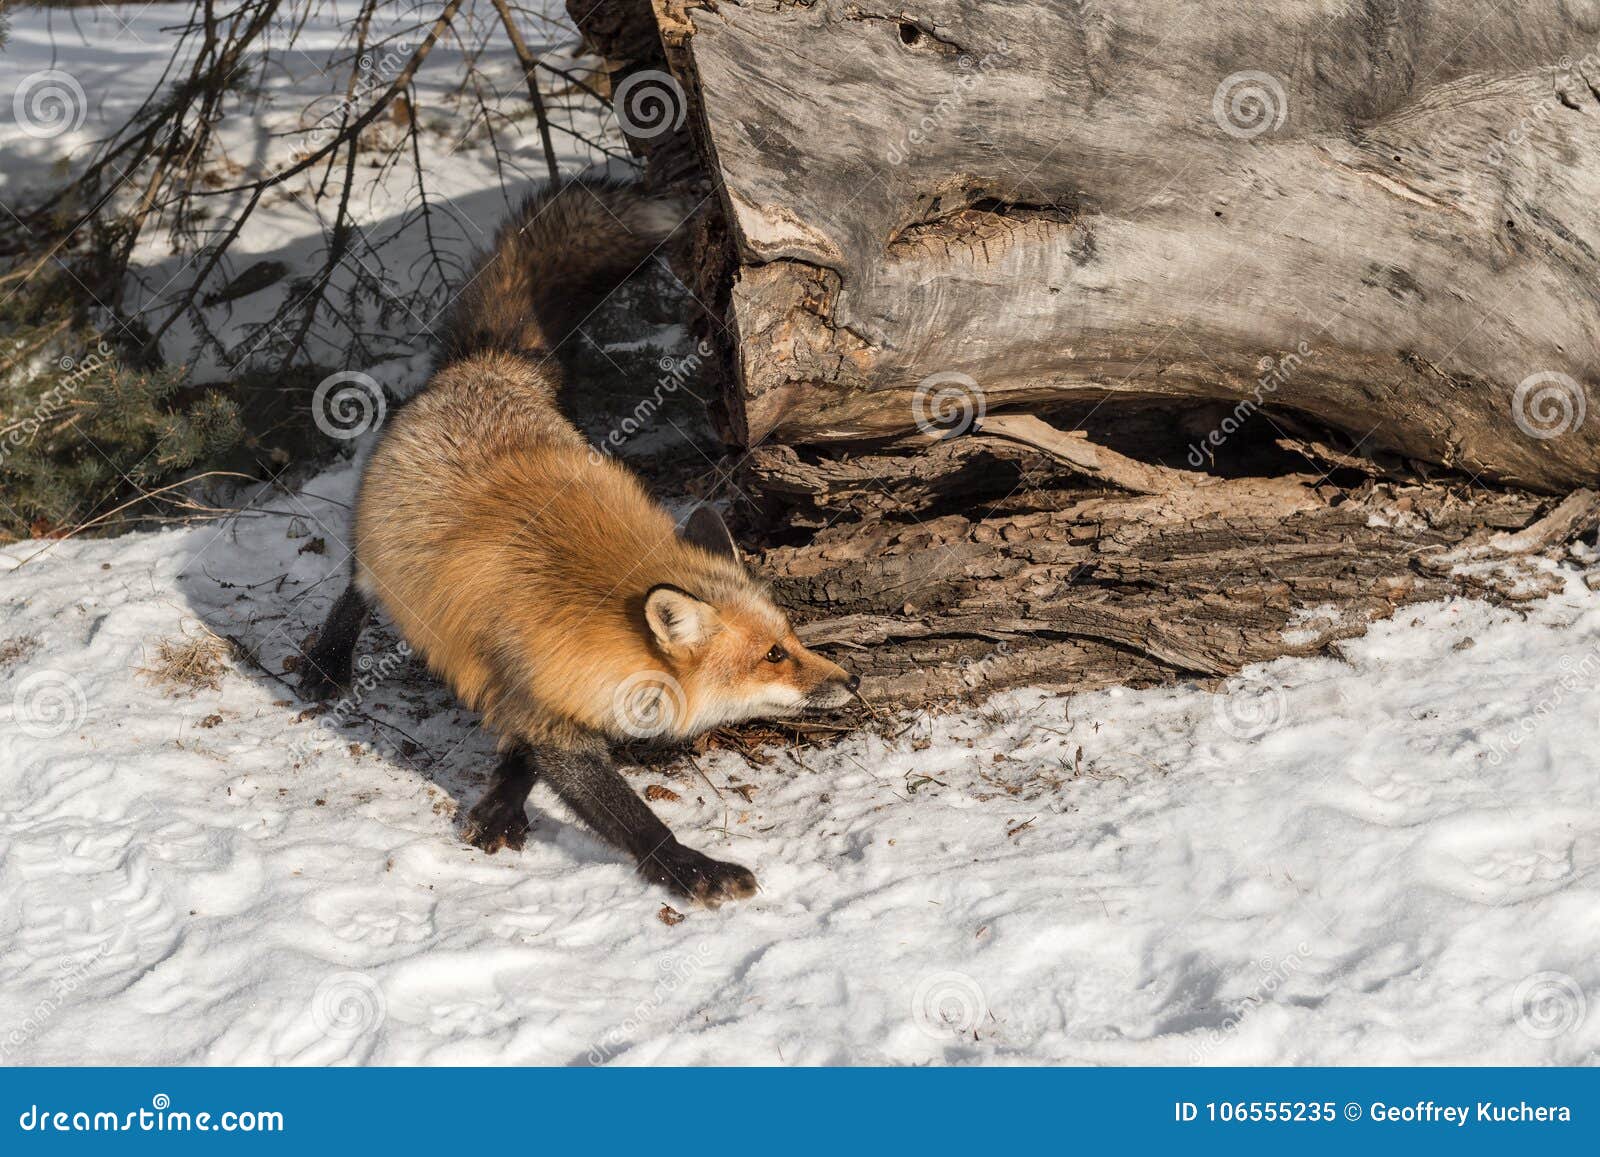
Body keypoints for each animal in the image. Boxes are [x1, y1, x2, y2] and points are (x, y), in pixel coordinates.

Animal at [297, 178, 857, 907]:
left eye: (790, 638)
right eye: (772, 656)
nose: (851, 680)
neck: (596, 609)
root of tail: (492, 365)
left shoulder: (537, 692)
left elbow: (523, 759)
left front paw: (501, 806)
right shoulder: (536, 691)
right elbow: (627, 813)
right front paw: (690, 867)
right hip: (380, 554)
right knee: (356, 588)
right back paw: (328, 659)